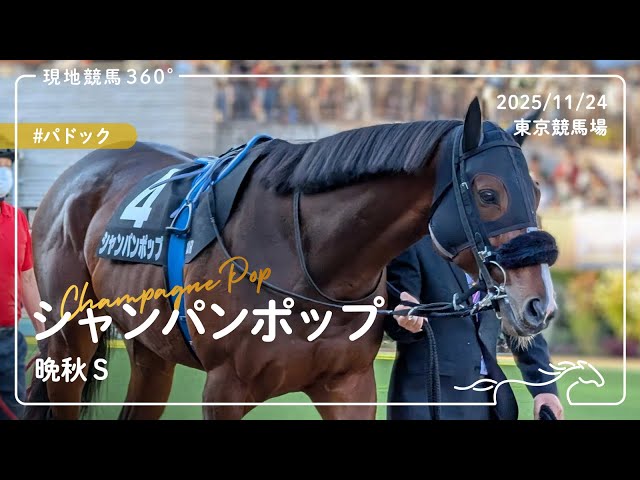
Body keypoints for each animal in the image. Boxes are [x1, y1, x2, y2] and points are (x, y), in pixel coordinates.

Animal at [23, 97, 558, 420]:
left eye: (535, 190)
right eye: (488, 194)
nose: (540, 305)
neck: (309, 265)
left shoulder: (349, 387)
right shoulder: (225, 391)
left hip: (152, 350)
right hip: (70, 337)